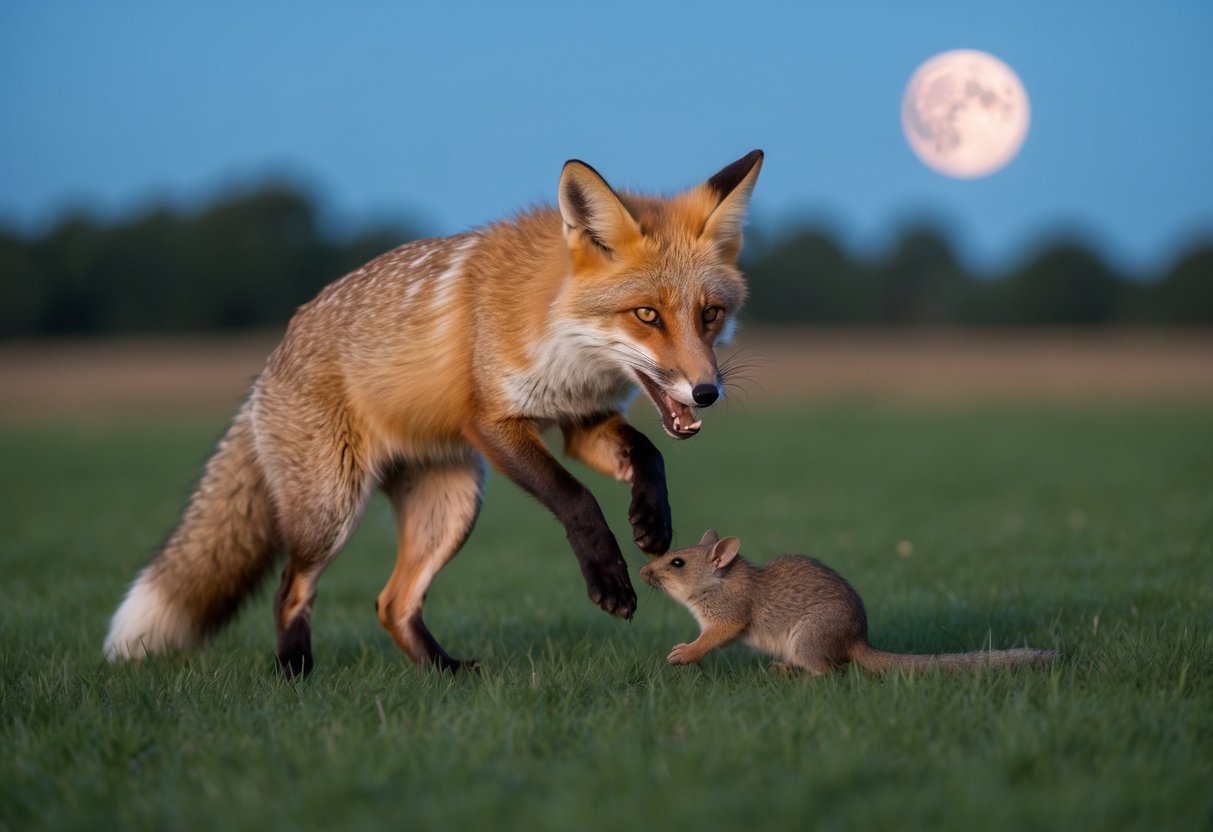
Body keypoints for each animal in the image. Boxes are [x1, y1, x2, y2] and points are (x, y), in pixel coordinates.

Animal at [104, 149, 764, 676]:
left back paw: (445, 673)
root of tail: (271, 359)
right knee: (291, 589)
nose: (706, 392)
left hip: (451, 508)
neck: (560, 336)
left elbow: (648, 452)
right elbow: (575, 498)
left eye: (709, 315)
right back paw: (295, 673)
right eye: (647, 315)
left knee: (391, 605)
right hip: (332, 511)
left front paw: (652, 519)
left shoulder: (582, 421)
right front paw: (609, 578)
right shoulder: (493, 421)